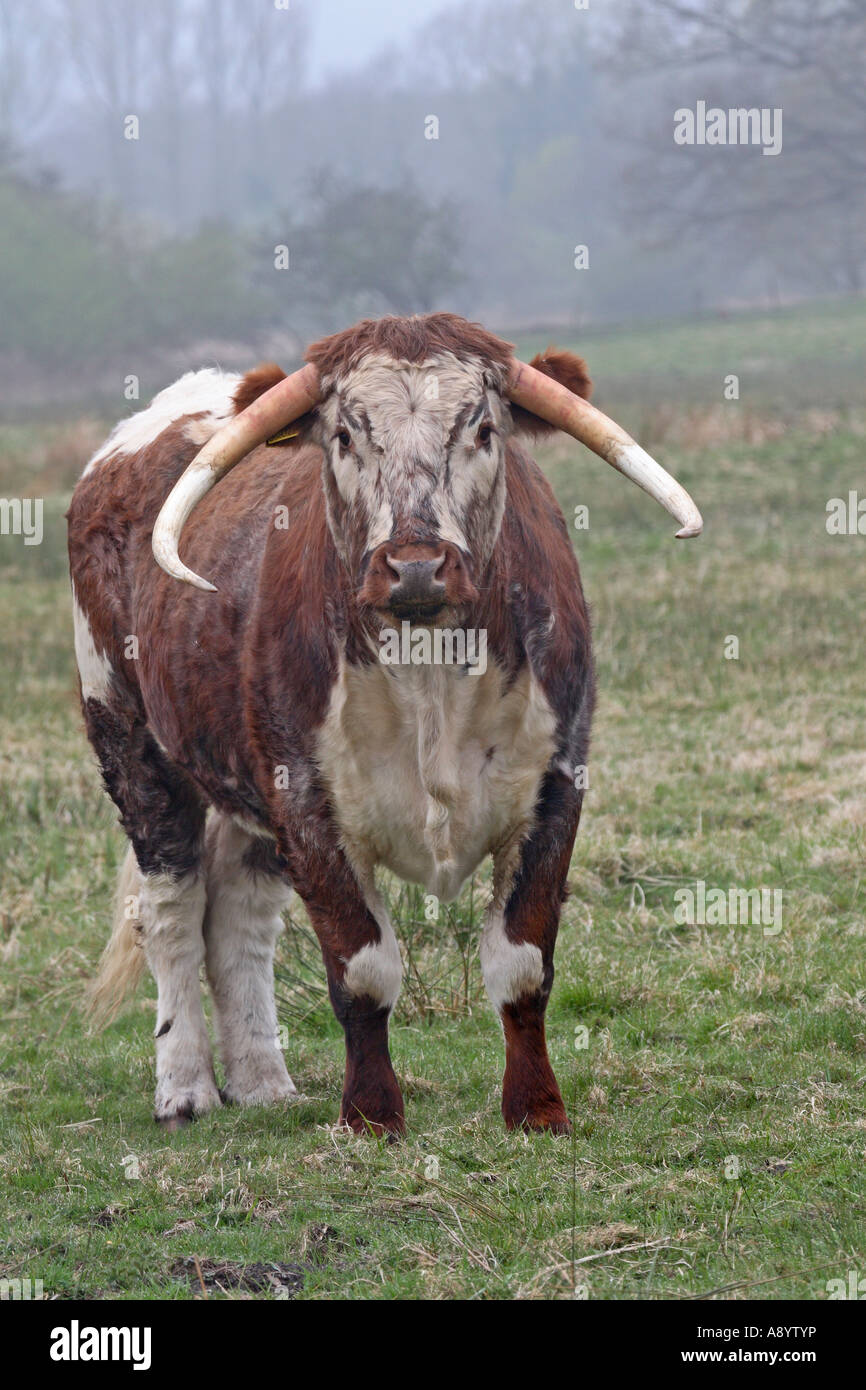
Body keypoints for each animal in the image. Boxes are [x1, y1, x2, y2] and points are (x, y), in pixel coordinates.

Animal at [69, 313, 701, 1135]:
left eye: (483, 428)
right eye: (344, 435)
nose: (417, 567)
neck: (429, 669)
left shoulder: (558, 785)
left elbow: (522, 963)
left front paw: (537, 1111)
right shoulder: (307, 801)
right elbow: (362, 971)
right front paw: (372, 1116)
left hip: (247, 793)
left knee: (239, 917)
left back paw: (263, 1081)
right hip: (131, 741)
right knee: (173, 910)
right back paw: (185, 1089)